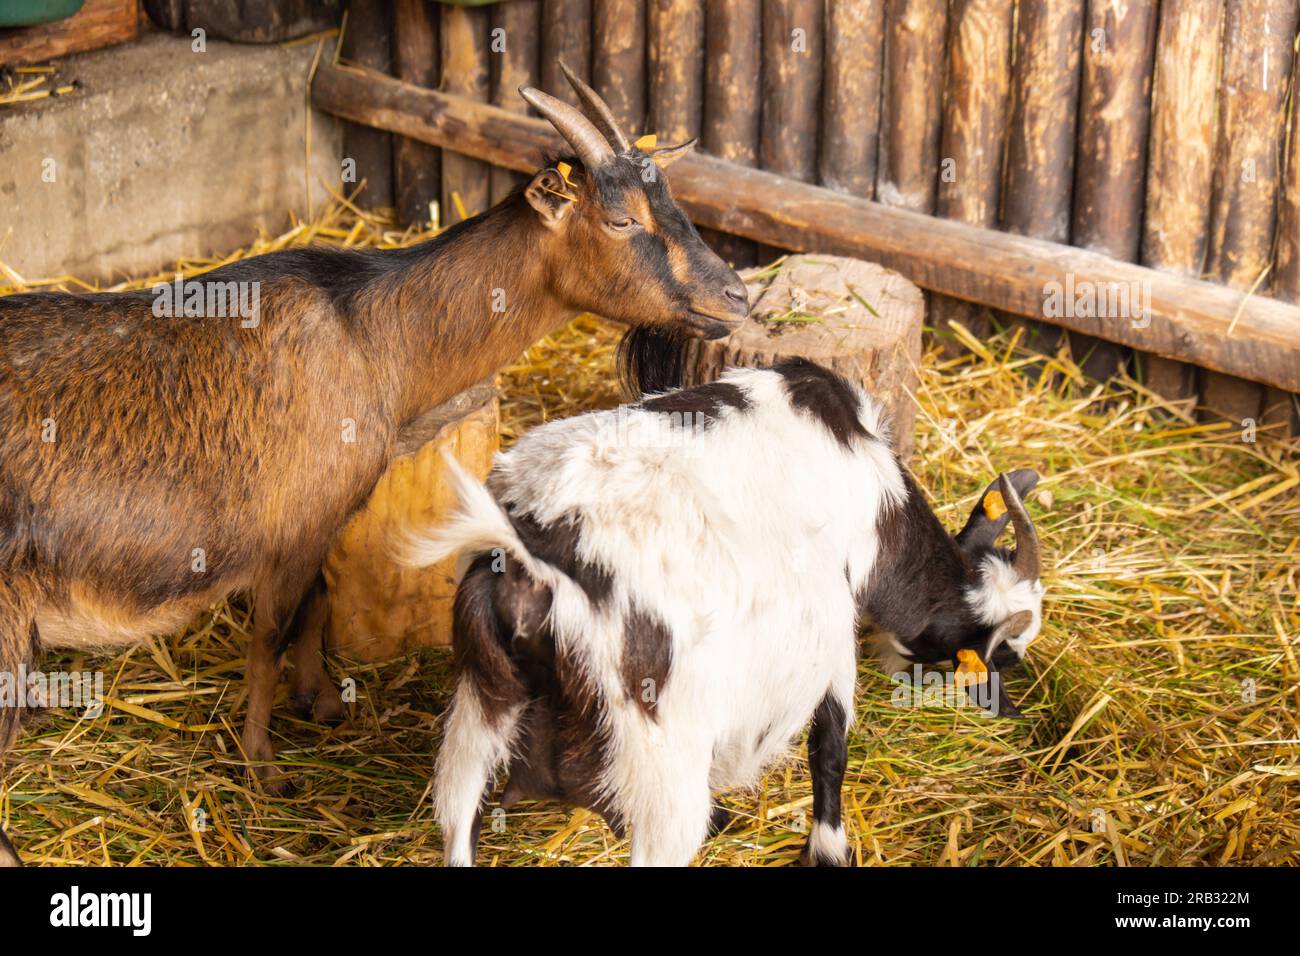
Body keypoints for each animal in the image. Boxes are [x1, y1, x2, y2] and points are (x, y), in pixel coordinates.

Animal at [0, 63, 747, 865]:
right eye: (621, 221)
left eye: (672, 203)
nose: (734, 295)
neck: (368, 331)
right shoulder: (289, 527)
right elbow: (268, 633)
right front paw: (263, 764)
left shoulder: (328, 516)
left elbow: (318, 604)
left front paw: (322, 701)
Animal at [401, 359, 1045, 867]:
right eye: (1006, 658)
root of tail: (532, 561)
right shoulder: (834, 635)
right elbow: (830, 748)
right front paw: (829, 849)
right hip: (663, 771)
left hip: (477, 721)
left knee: (458, 821)